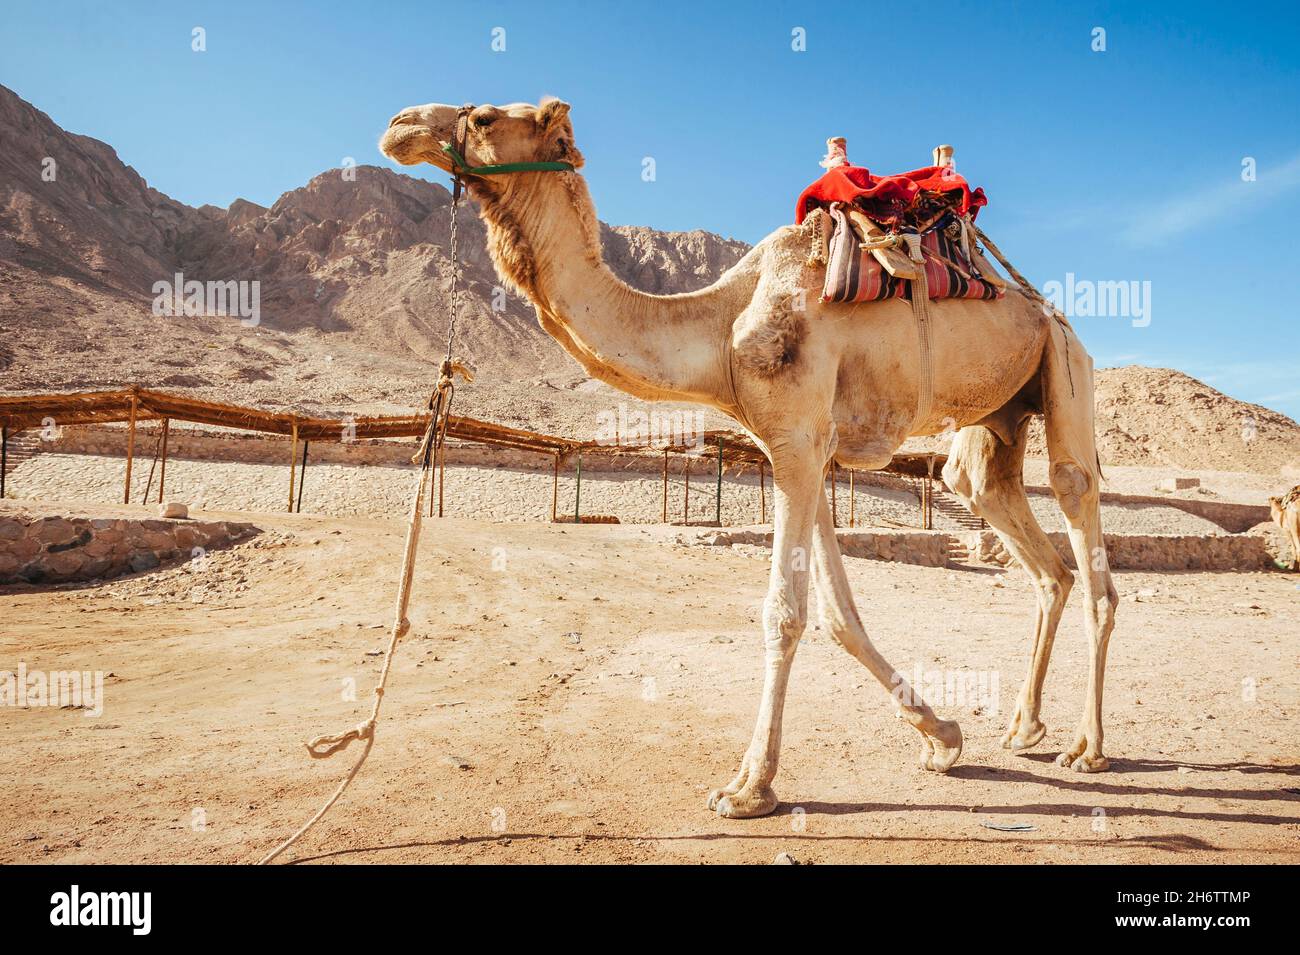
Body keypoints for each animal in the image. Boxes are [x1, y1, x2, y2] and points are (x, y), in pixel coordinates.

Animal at [379, 98, 1120, 818]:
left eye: (482, 117)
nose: (399, 125)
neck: (723, 326)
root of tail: (1047, 309)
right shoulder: (803, 446)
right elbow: (838, 616)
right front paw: (942, 737)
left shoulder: (795, 438)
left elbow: (783, 611)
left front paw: (748, 786)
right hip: (1000, 412)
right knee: (1009, 519)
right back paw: (1024, 727)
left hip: (1064, 364)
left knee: (1079, 508)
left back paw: (1087, 747)